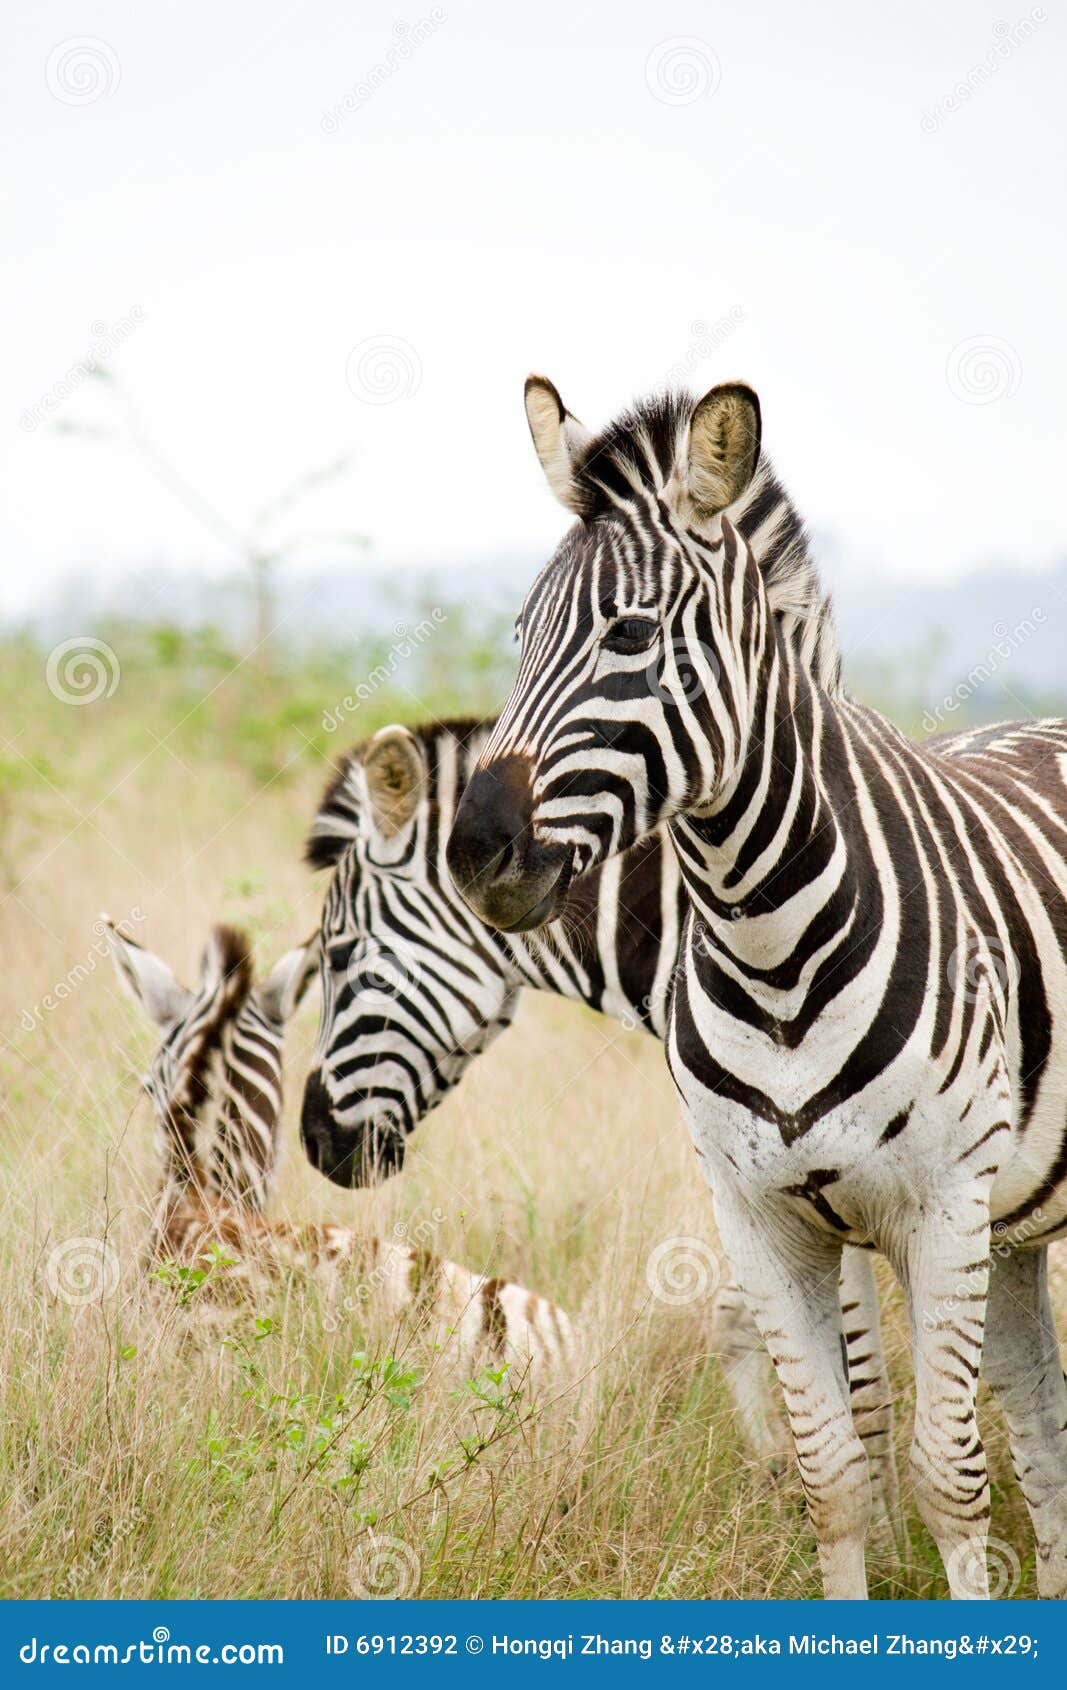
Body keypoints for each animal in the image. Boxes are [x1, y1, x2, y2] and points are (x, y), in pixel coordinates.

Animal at [444, 375, 1067, 1599]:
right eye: (519, 637)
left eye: (631, 635)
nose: (476, 850)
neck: (767, 943)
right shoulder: (760, 1221)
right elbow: (833, 1476)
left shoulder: (940, 1207)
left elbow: (947, 1477)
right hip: (1013, 1220)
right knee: (1041, 1421)